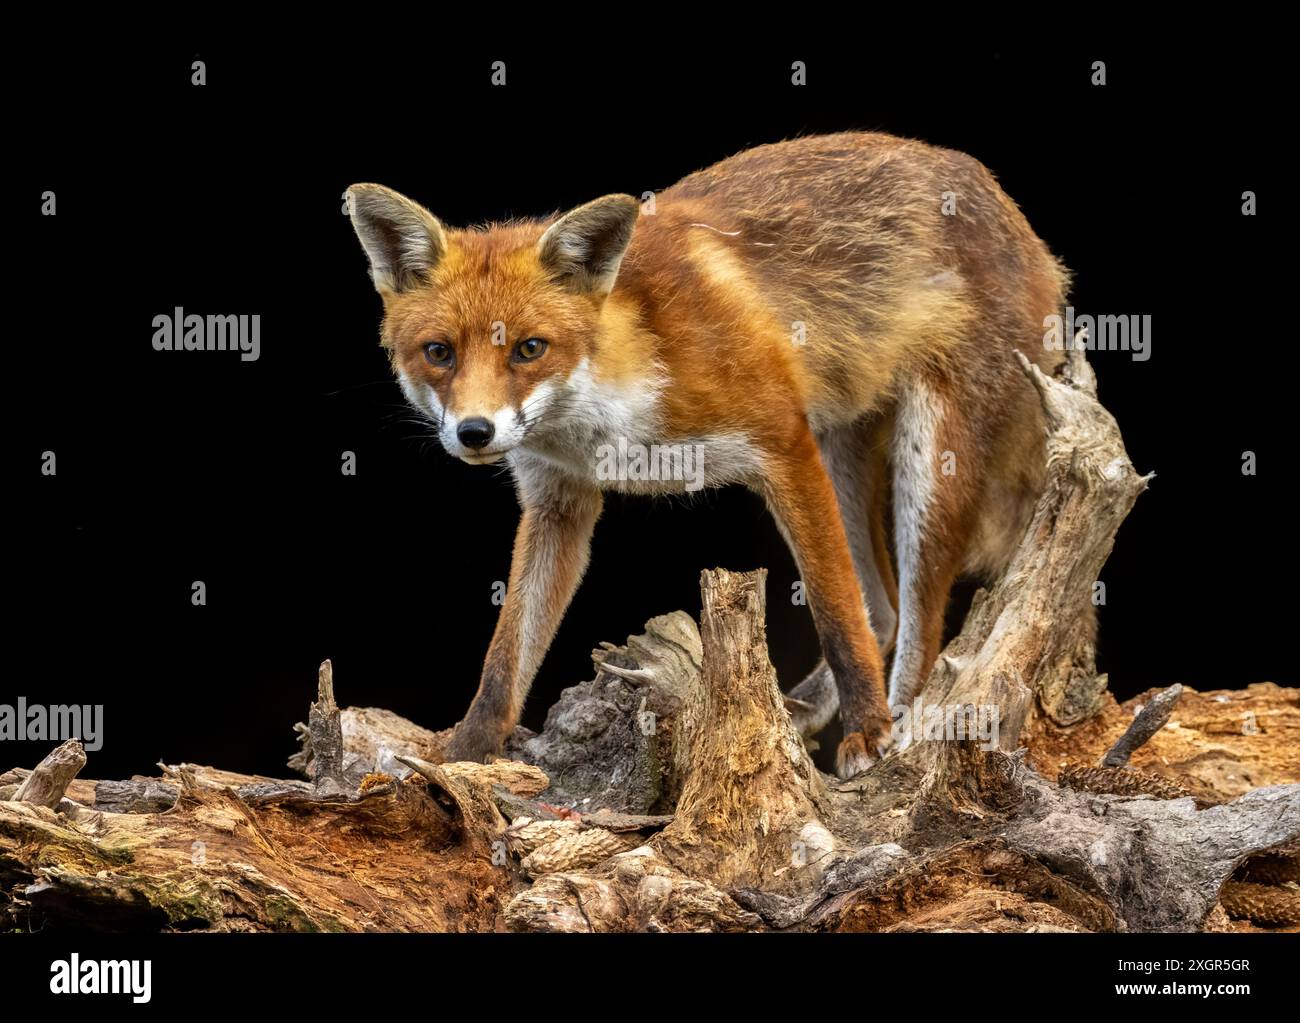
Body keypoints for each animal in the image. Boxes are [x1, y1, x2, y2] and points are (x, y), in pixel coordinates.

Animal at [346, 131, 1071, 779]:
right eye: (439, 353)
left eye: (529, 349)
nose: (475, 431)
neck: (614, 404)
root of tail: (1006, 207)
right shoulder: (558, 501)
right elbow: (506, 655)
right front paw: (464, 752)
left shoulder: (782, 440)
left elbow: (836, 614)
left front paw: (868, 728)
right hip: (841, 446)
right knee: (883, 605)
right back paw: (807, 709)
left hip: (926, 463)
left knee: (916, 621)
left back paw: (897, 725)